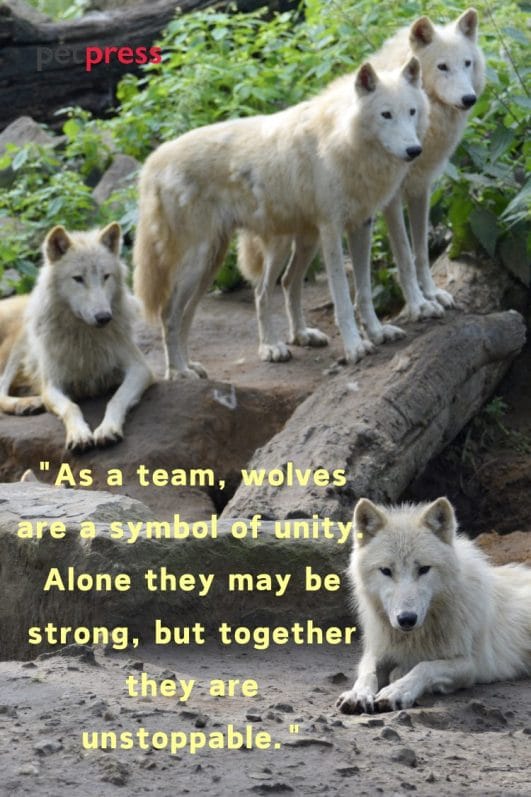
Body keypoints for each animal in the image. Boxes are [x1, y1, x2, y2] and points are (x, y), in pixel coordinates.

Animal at [0, 223, 153, 451]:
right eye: (78, 279)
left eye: (106, 276)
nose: (104, 317)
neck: (85, 337)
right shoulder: (51, 384)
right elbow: (71, 407)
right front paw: (79, 434)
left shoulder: (140, 369)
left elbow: (116, 399)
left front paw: (107, 429)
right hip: (18, 345)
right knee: (1, 389)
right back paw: (26, 404)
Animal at [133, 57, 429, 376]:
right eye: (386, 115)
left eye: (411, 111)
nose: (414, 150)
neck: (344, 140)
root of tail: (153, 162)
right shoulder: (331, 230)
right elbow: (341, 297)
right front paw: (354, 347)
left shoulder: (362, 225)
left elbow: (363, 290)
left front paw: (376, 333)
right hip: (201, 262)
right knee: (172, 314)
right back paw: (184, 371)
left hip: (253, 253)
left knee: (271, 288)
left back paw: (285, 341)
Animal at [238, 8, 486, 357]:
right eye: (442, 66)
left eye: (467, 63)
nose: (469, 98)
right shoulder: (390, 200)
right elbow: (403, 255)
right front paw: (418, 305)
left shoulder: (420, 190)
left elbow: (421, 251)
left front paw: (432, 293)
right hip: (284, 242)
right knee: (262, 290)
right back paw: (272, 347)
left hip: (309, 238)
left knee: (288, 282)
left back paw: (301, 336)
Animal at [336, 497, 531, 713]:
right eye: (386, 570)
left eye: (424, 569)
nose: (406, 619)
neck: (417, 636)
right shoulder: (379, 649)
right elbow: (367, 672)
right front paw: (358, 694)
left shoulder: (471, 665)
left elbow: (424, 666)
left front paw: (397, 691)